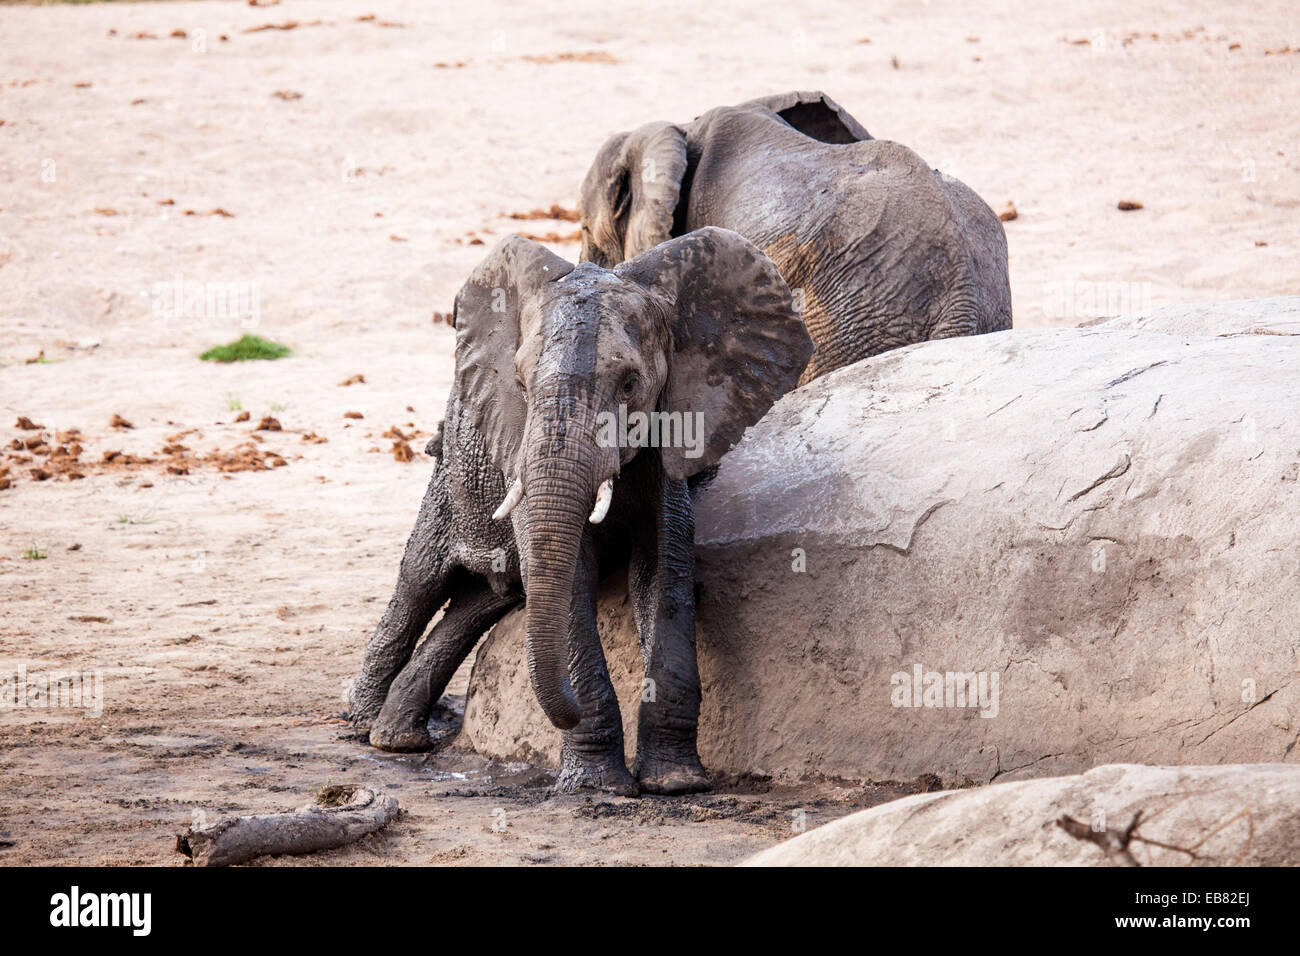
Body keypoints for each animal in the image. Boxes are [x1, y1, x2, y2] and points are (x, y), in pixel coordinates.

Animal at [349, 227, 813, 795]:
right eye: (521, 384)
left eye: (631, 383)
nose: (564, 708)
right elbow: (573, 577)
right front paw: (598, 787)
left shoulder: (674, 432)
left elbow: (664, 571)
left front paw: (676, 783)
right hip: (448, 482)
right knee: (420, 581)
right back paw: (366, 726)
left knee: (481, 601)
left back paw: (398, 735)